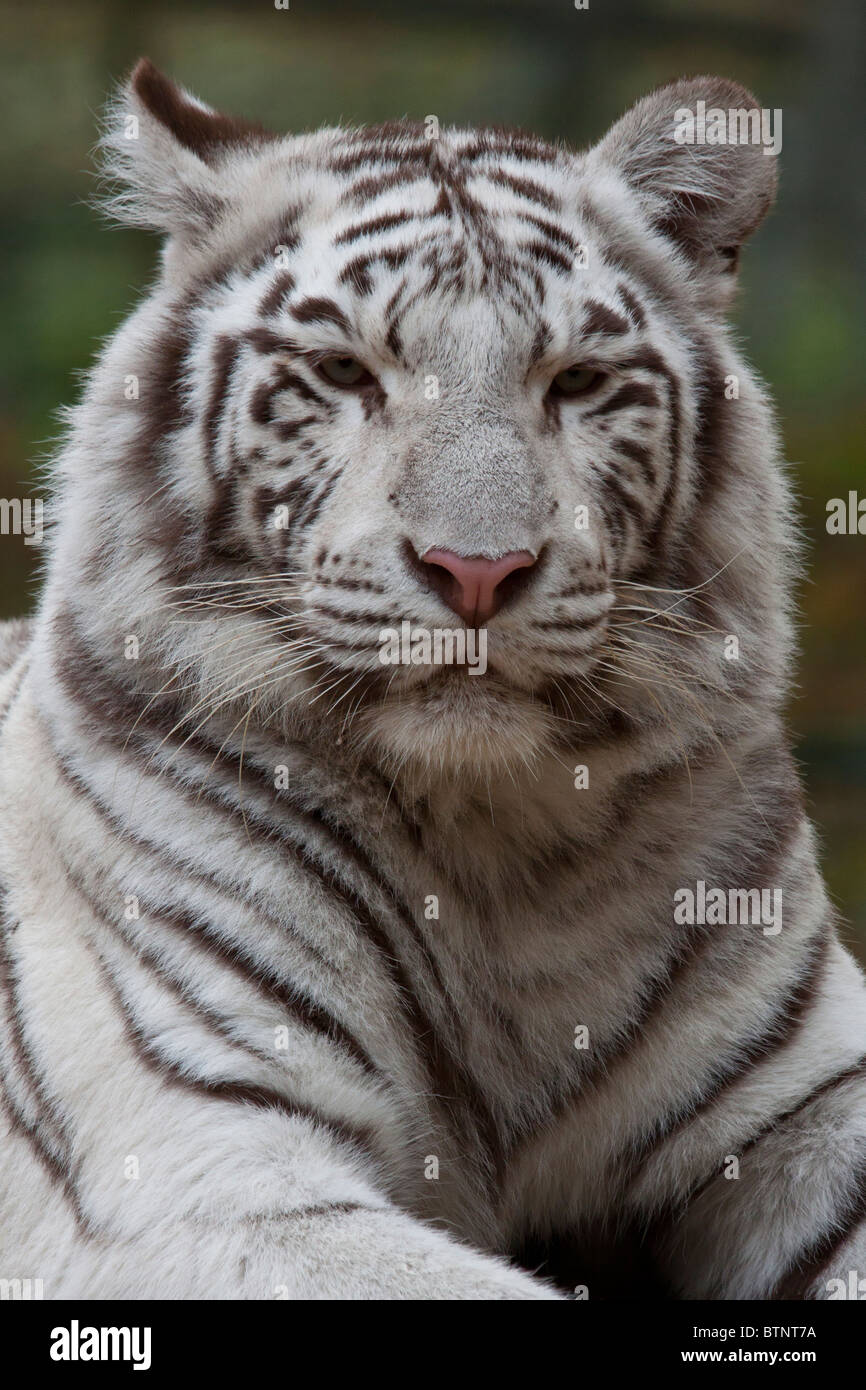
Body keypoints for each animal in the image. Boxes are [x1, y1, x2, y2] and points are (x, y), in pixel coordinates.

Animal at [0, 57, 864, 1302]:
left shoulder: (805, 1089)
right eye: (344, 371)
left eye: (576, 381)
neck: (490, 855)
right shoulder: (198, 1158)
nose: (477, 568)